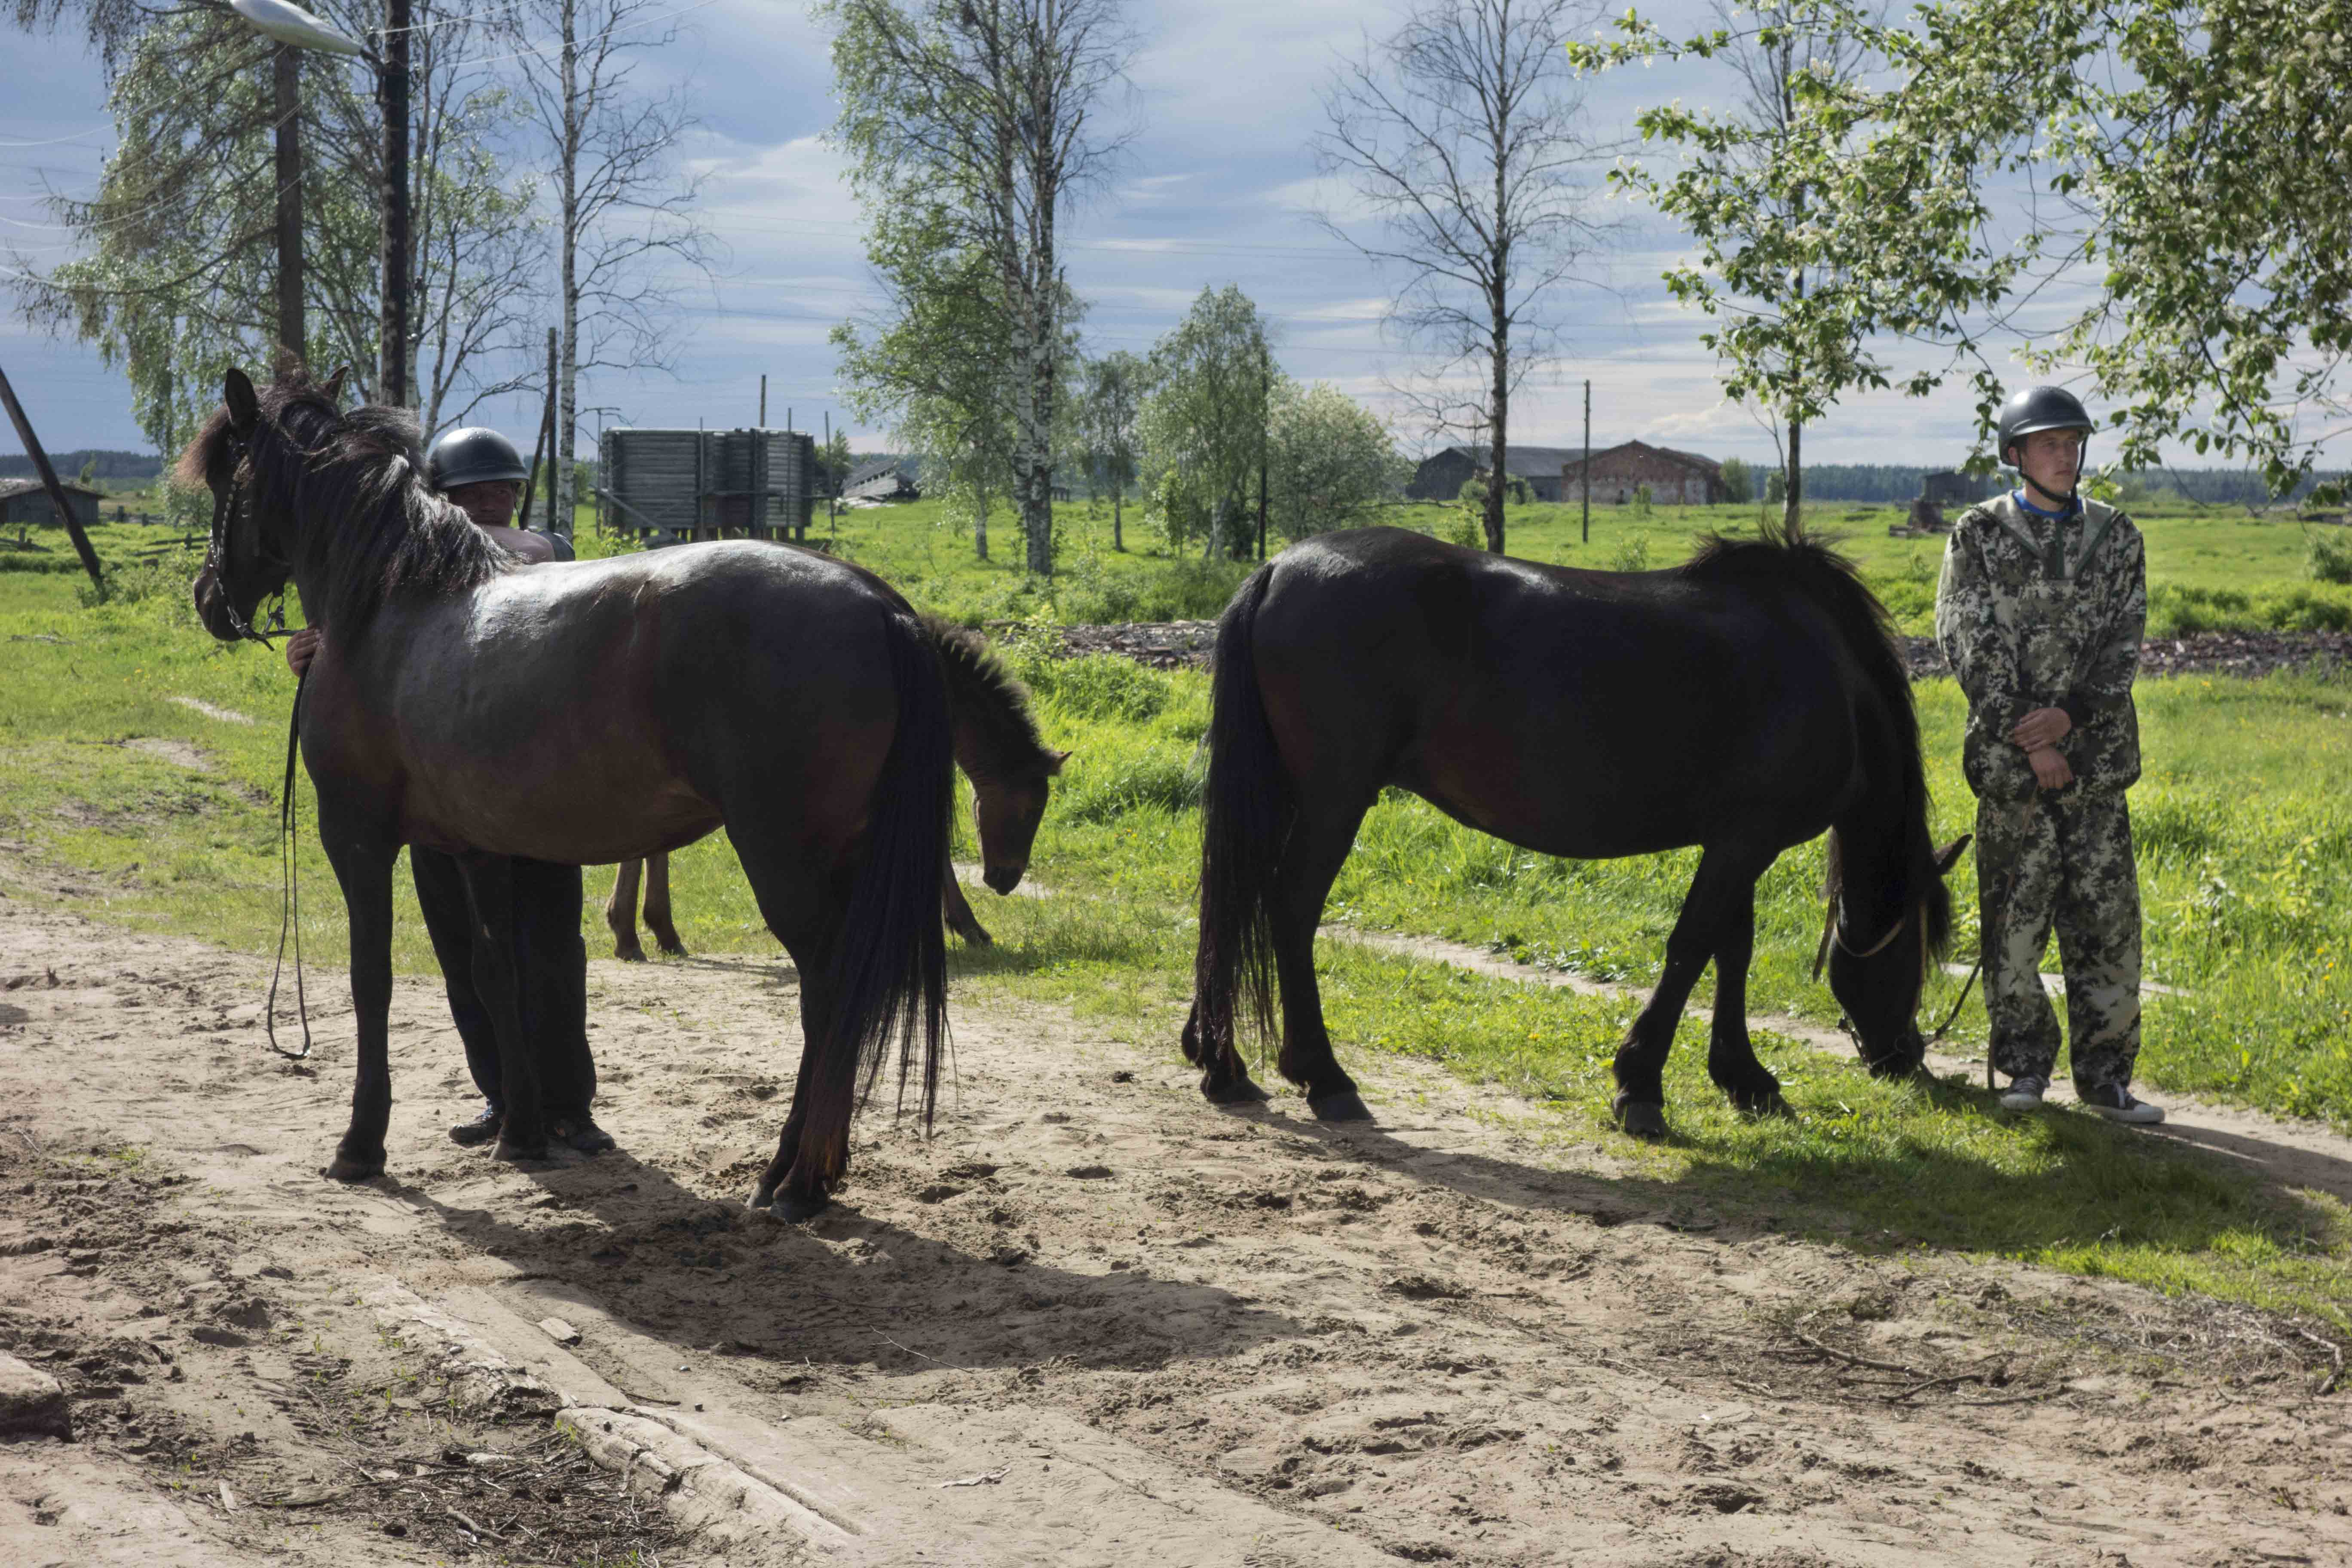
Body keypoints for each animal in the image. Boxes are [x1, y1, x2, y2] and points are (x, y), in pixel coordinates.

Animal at [184, 366, 1054, 1218]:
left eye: (225, 474)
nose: (208, 599)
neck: (393, 606)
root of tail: (881, 607)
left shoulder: (356, 837)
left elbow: (373, 981)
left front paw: (361, 1146)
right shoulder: (476, 846)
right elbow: (500, 974)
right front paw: (523, 1132)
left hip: (787, 861)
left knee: (829, 993)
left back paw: (792, 1182)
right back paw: (806, 1172)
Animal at [1184, 525, 1967, 1138]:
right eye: (1918, 954)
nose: (1905, 1057)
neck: (1827, 667)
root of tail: (1278, 568)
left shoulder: (1737, 841)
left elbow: (1730, 951)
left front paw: (1744, 1077)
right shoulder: (1746, 841)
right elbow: (1692, 948)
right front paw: (1640, 1084)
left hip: (1288, 794)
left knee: (1235, 900)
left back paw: (1222, 1063)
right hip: (1333, 800)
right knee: (1288, 908)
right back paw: (1323, 1075)